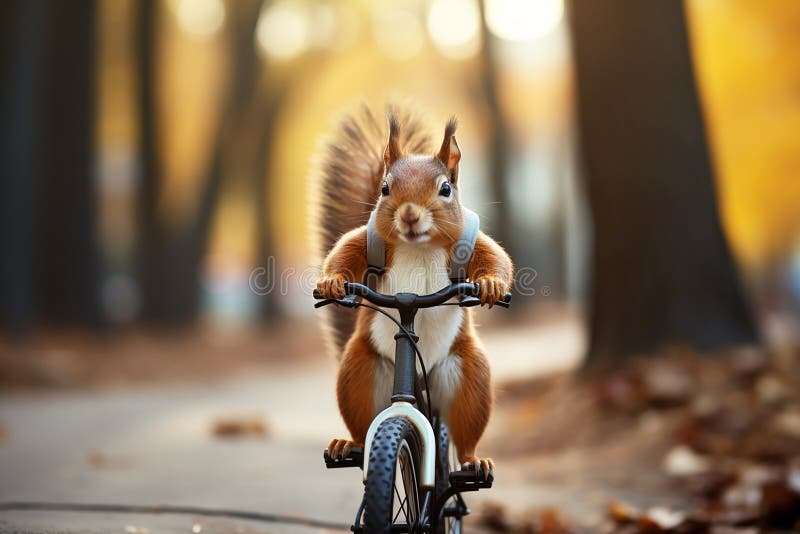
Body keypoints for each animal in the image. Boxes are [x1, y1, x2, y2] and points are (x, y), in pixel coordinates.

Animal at [311, 104, 513, 475]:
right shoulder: (371, 239)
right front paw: (331, 282)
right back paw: (349, 443)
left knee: (466, 429)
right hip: (360, 371)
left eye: (446, 188)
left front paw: (492, 284)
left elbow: (496, 258)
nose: (409, 215)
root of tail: (418, 382)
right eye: (385, 188)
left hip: (468, 377)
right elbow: (345, 250)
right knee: (363, 424)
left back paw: (473, 462)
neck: (418, 247)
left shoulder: (468, 239)